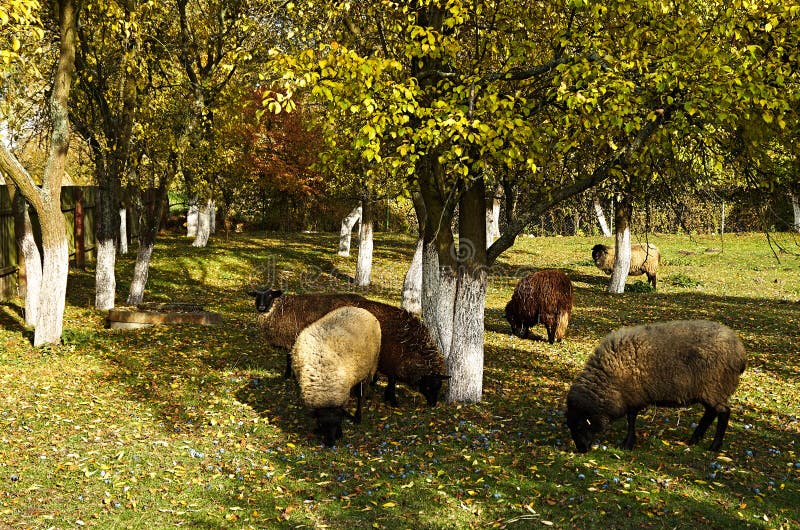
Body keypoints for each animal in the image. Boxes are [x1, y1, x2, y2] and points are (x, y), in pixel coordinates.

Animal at [291, 306, 381, 447]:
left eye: (339, 423)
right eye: (322, 424)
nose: (330, 443)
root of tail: (360, 308)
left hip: (371, 367)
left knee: (361, 395)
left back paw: (358, 417)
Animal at [565, 320, 746, 453]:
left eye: (580, 425)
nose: (581, 449)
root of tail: (739, 350)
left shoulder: (634, 395)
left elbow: (631, 419)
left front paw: (627, 444)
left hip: (715, 386)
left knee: (723, 412)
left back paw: (714, 446)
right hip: (709, 390)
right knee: (710, 413)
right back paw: (694, 440)